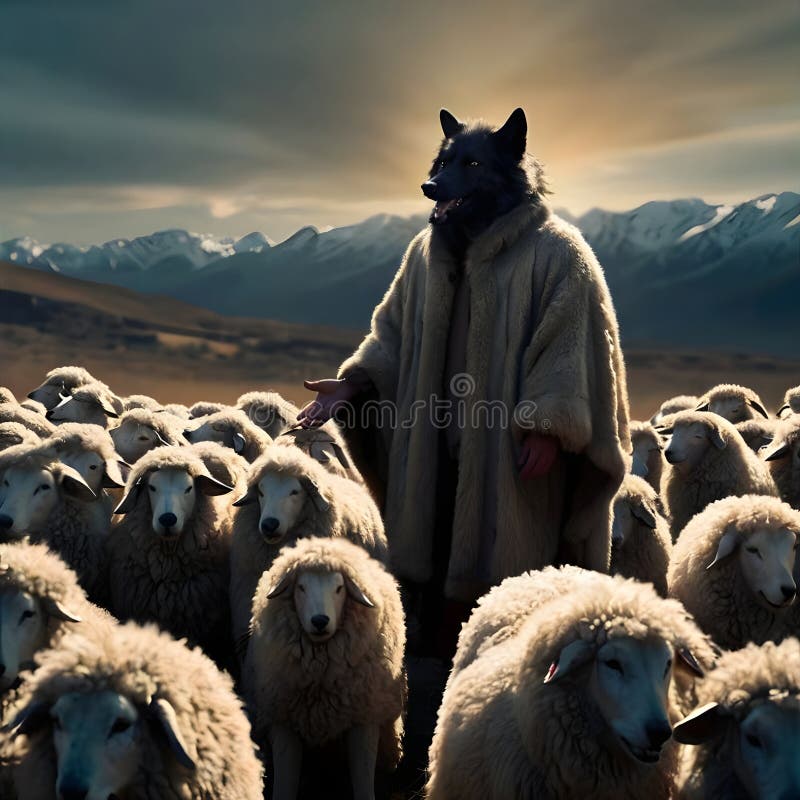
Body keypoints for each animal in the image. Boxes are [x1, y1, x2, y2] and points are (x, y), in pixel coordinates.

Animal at [243, 537, 405, 800]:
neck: (320, 679)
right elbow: (285, 786)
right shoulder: (283, 720)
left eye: (339, 588)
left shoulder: (364, 719)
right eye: (301, 587)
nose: (320, 621)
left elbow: (364, 785)